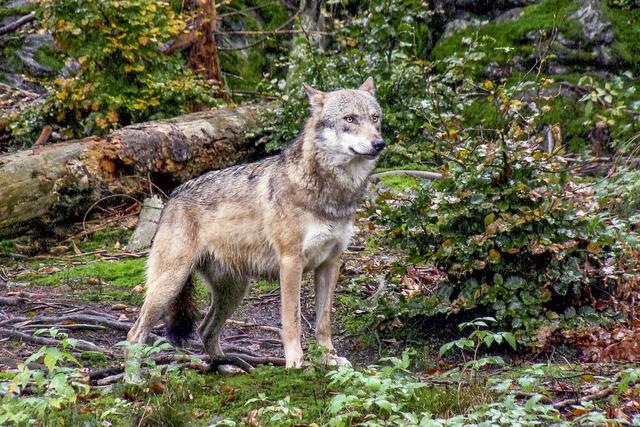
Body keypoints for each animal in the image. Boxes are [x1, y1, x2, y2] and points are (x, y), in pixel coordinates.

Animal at [127, 77, 384, 368]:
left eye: (375, 118)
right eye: (349, 119)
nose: (379, 143)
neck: (330, 194)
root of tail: (172, 196)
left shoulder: (330, 263)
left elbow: (323, 322)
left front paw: (329, 358)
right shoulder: (290, 262)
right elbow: (292, 321)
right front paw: (296, 362)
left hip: (234, 291)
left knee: (205, 330)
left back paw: (226, 367)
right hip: (170, 284)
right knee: (135, 334)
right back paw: (135, 378)